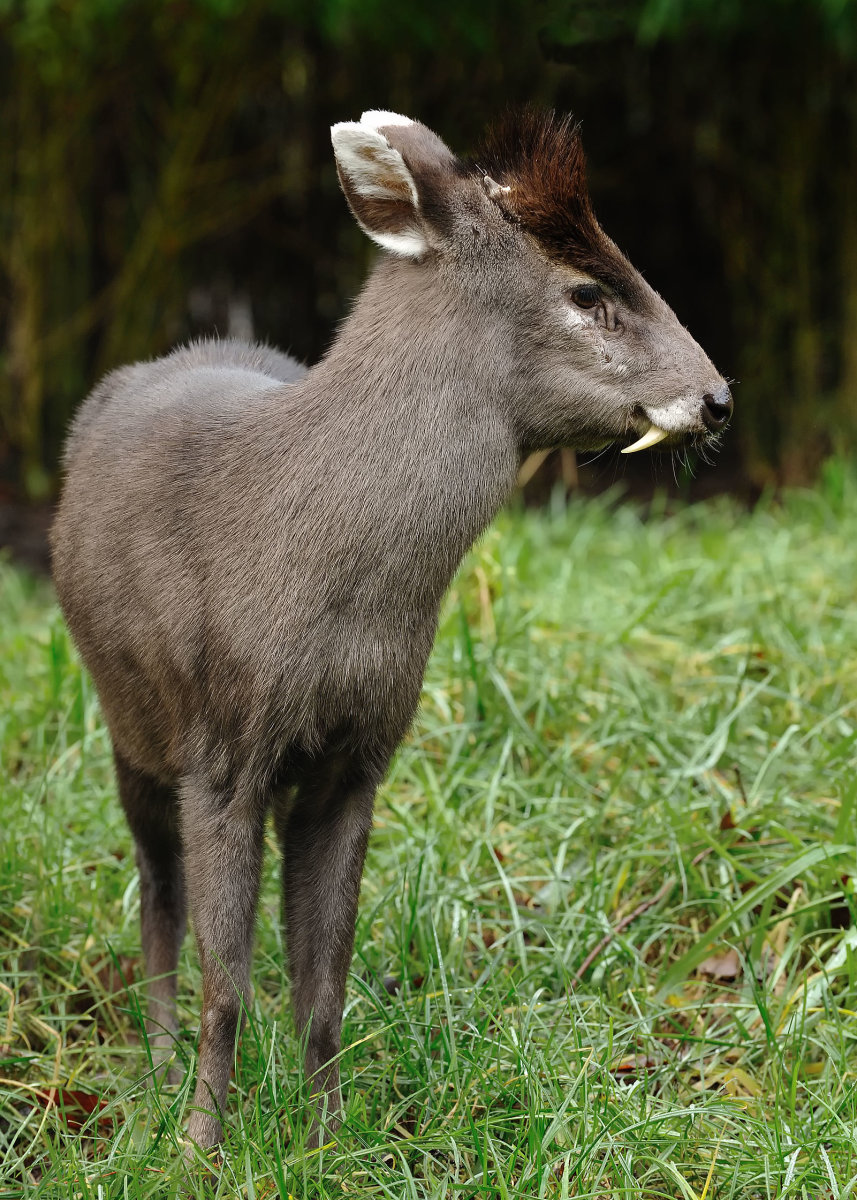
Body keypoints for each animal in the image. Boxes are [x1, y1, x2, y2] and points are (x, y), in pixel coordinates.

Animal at [51, 108, 732, 1151]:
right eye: (587, 291)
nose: (717, 397)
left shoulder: (360, 756)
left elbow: (323, 984)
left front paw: (331, 1141)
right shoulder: (220, 746)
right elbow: (226, 983)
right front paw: (201, 1147)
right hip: (129, 717)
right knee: (155, 884)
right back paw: (158, 1070)